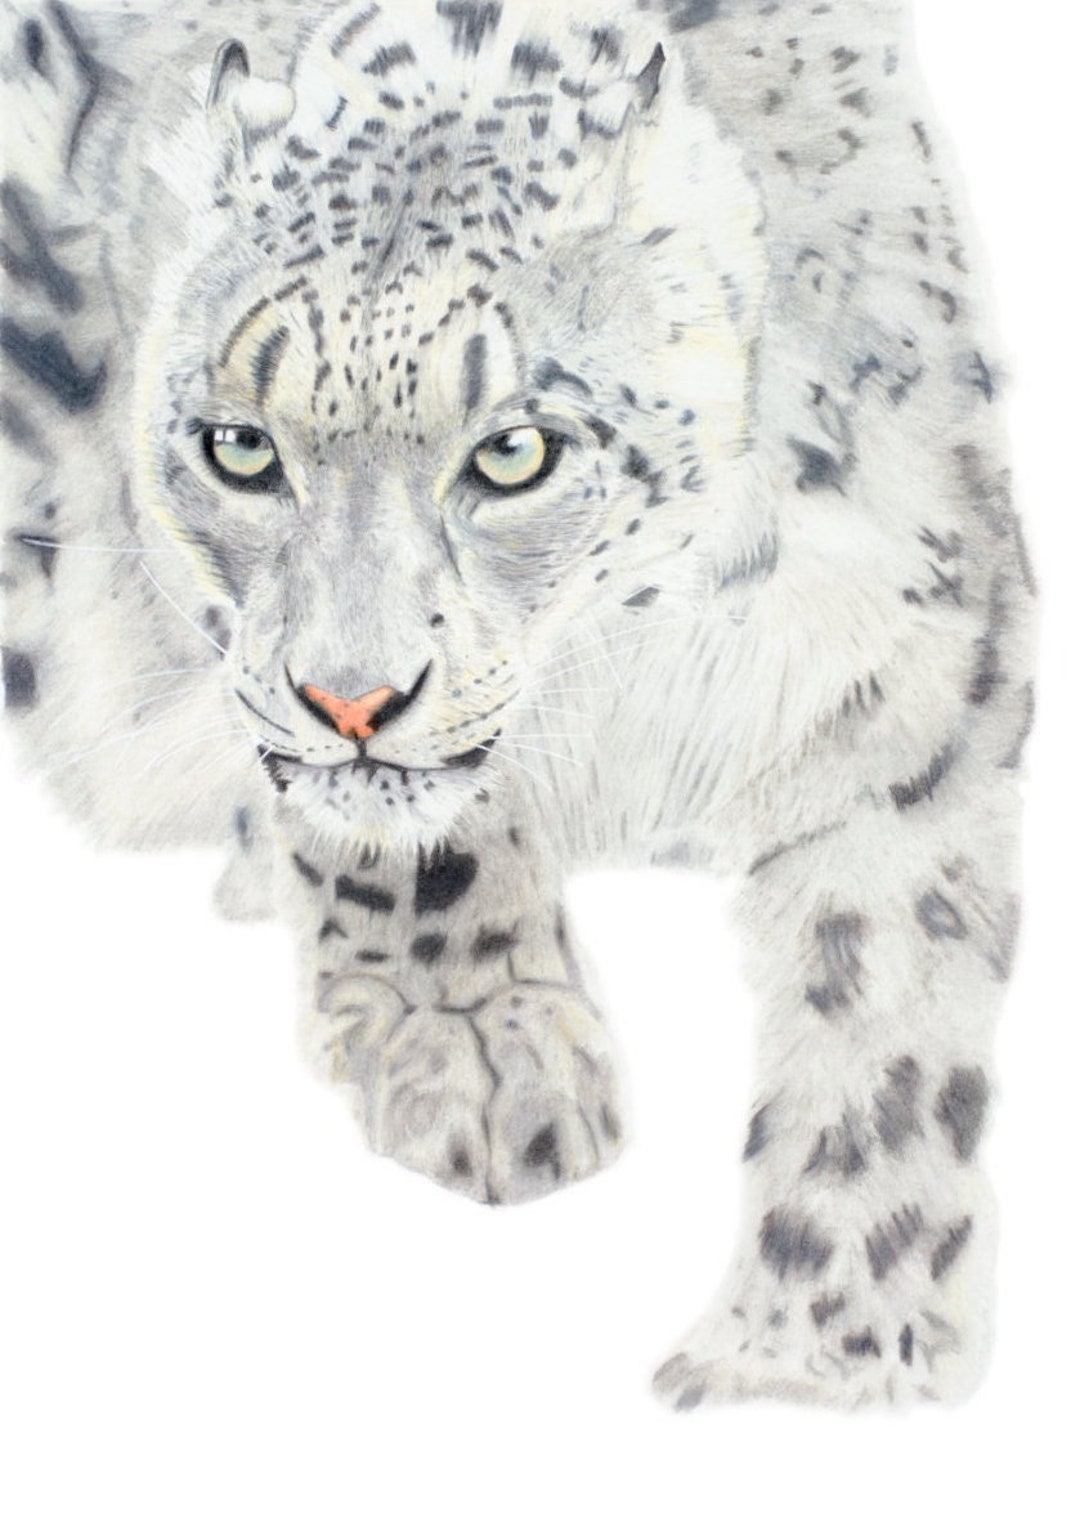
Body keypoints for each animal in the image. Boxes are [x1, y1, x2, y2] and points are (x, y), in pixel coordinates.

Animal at [0, 0, 1034, 1409]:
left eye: (514, 451)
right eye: (241, 448)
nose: (350, 700)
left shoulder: (914, 665)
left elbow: (888, 1001)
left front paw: (822, 1349)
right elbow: (409, 840)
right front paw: (479, 1048)